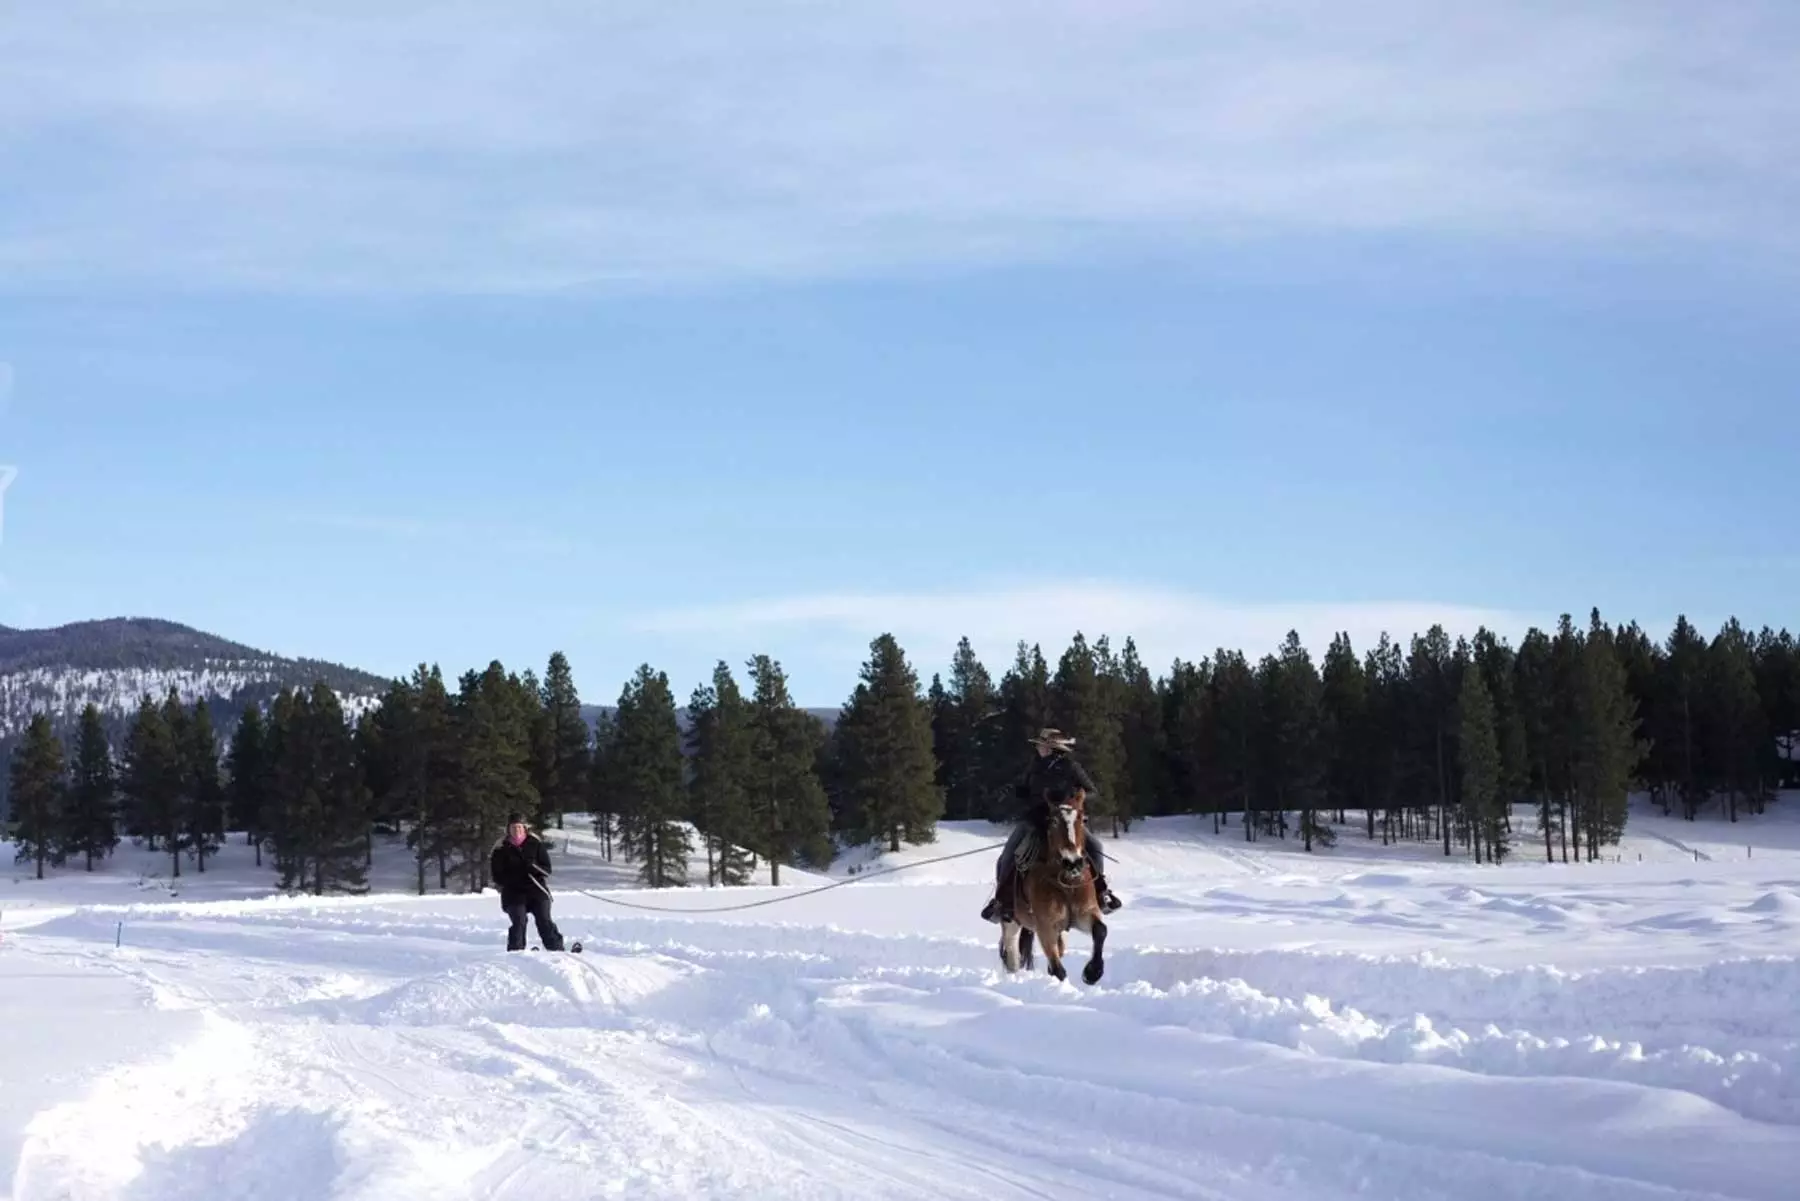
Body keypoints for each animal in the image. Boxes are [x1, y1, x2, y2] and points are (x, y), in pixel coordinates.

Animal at [1008, 788, 1101, 986]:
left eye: (1083, 818)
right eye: (1053, 820)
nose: (1072, 862)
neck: (1066, 884)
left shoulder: (1085, 913)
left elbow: (1100, 931)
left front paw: (1093, 972)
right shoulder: (1045, 926)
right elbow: (1058, 969)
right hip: (1012, 921)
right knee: (1009, 948)